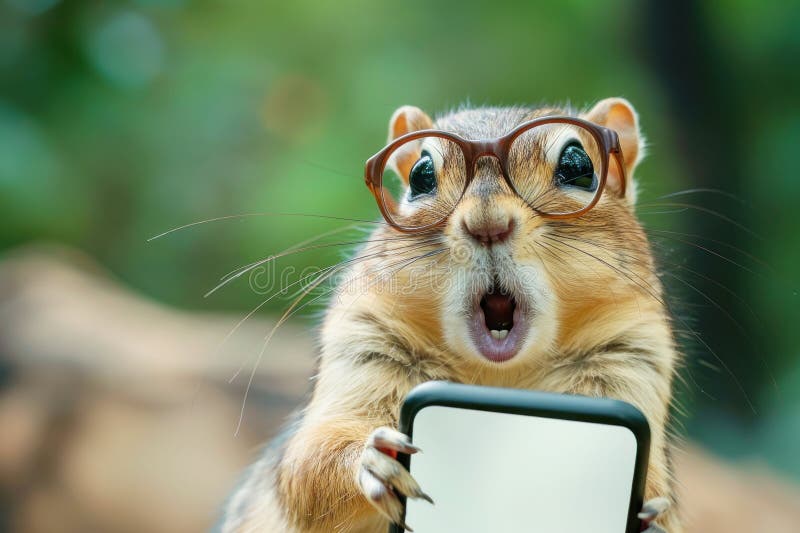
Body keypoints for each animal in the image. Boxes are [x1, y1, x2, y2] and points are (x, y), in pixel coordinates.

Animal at [220, 98, 682, 533]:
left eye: (579, 166)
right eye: (420, 175)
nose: (487, 224)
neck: (498, 377)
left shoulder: (631, 361)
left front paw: (649, 517)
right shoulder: (364, 341)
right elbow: (307, 469)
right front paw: (371, 459)